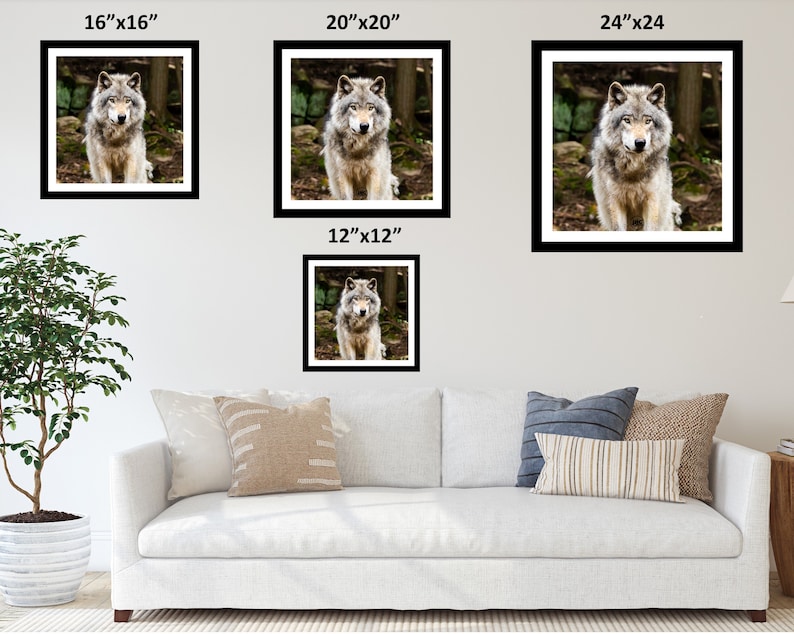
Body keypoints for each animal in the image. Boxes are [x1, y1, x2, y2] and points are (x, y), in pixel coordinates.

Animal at [589, 81, 682, 231]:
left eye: (648, 121)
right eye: (627, 120)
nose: (640, 143)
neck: (633, 168)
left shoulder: (652, 199)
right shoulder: (615, 200)